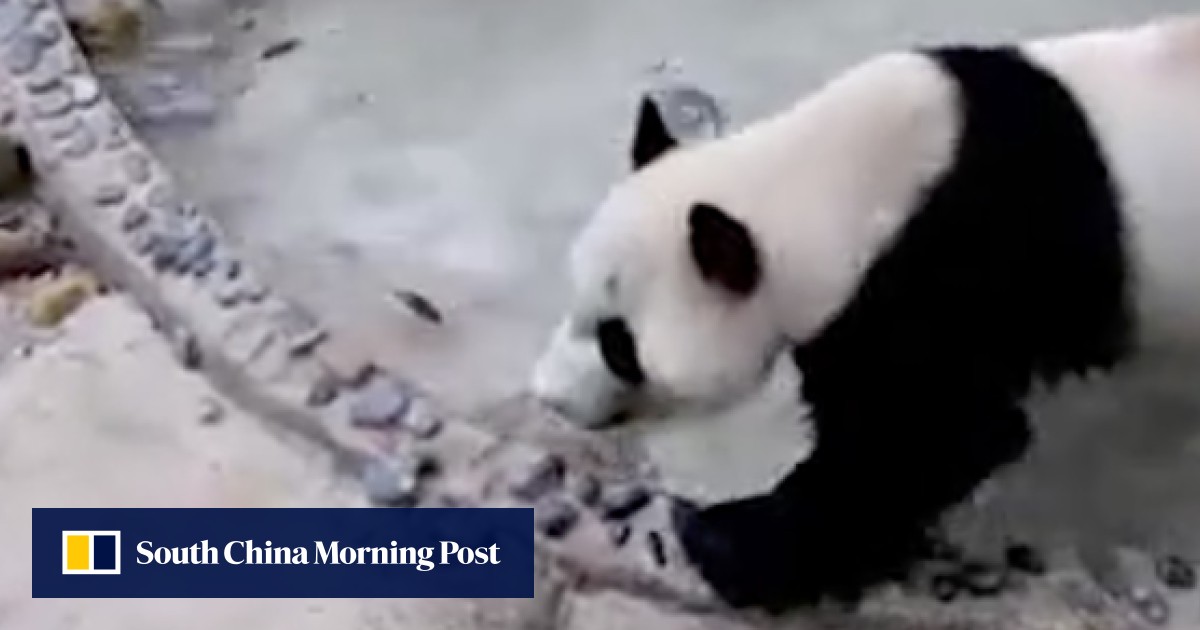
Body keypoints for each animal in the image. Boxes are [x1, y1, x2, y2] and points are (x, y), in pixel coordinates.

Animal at [531, 15, 1200, 611]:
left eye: (620, 345)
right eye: (575, 296)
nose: (549, 396)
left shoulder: (967, 261)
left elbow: (931, 438)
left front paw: (726, 539)